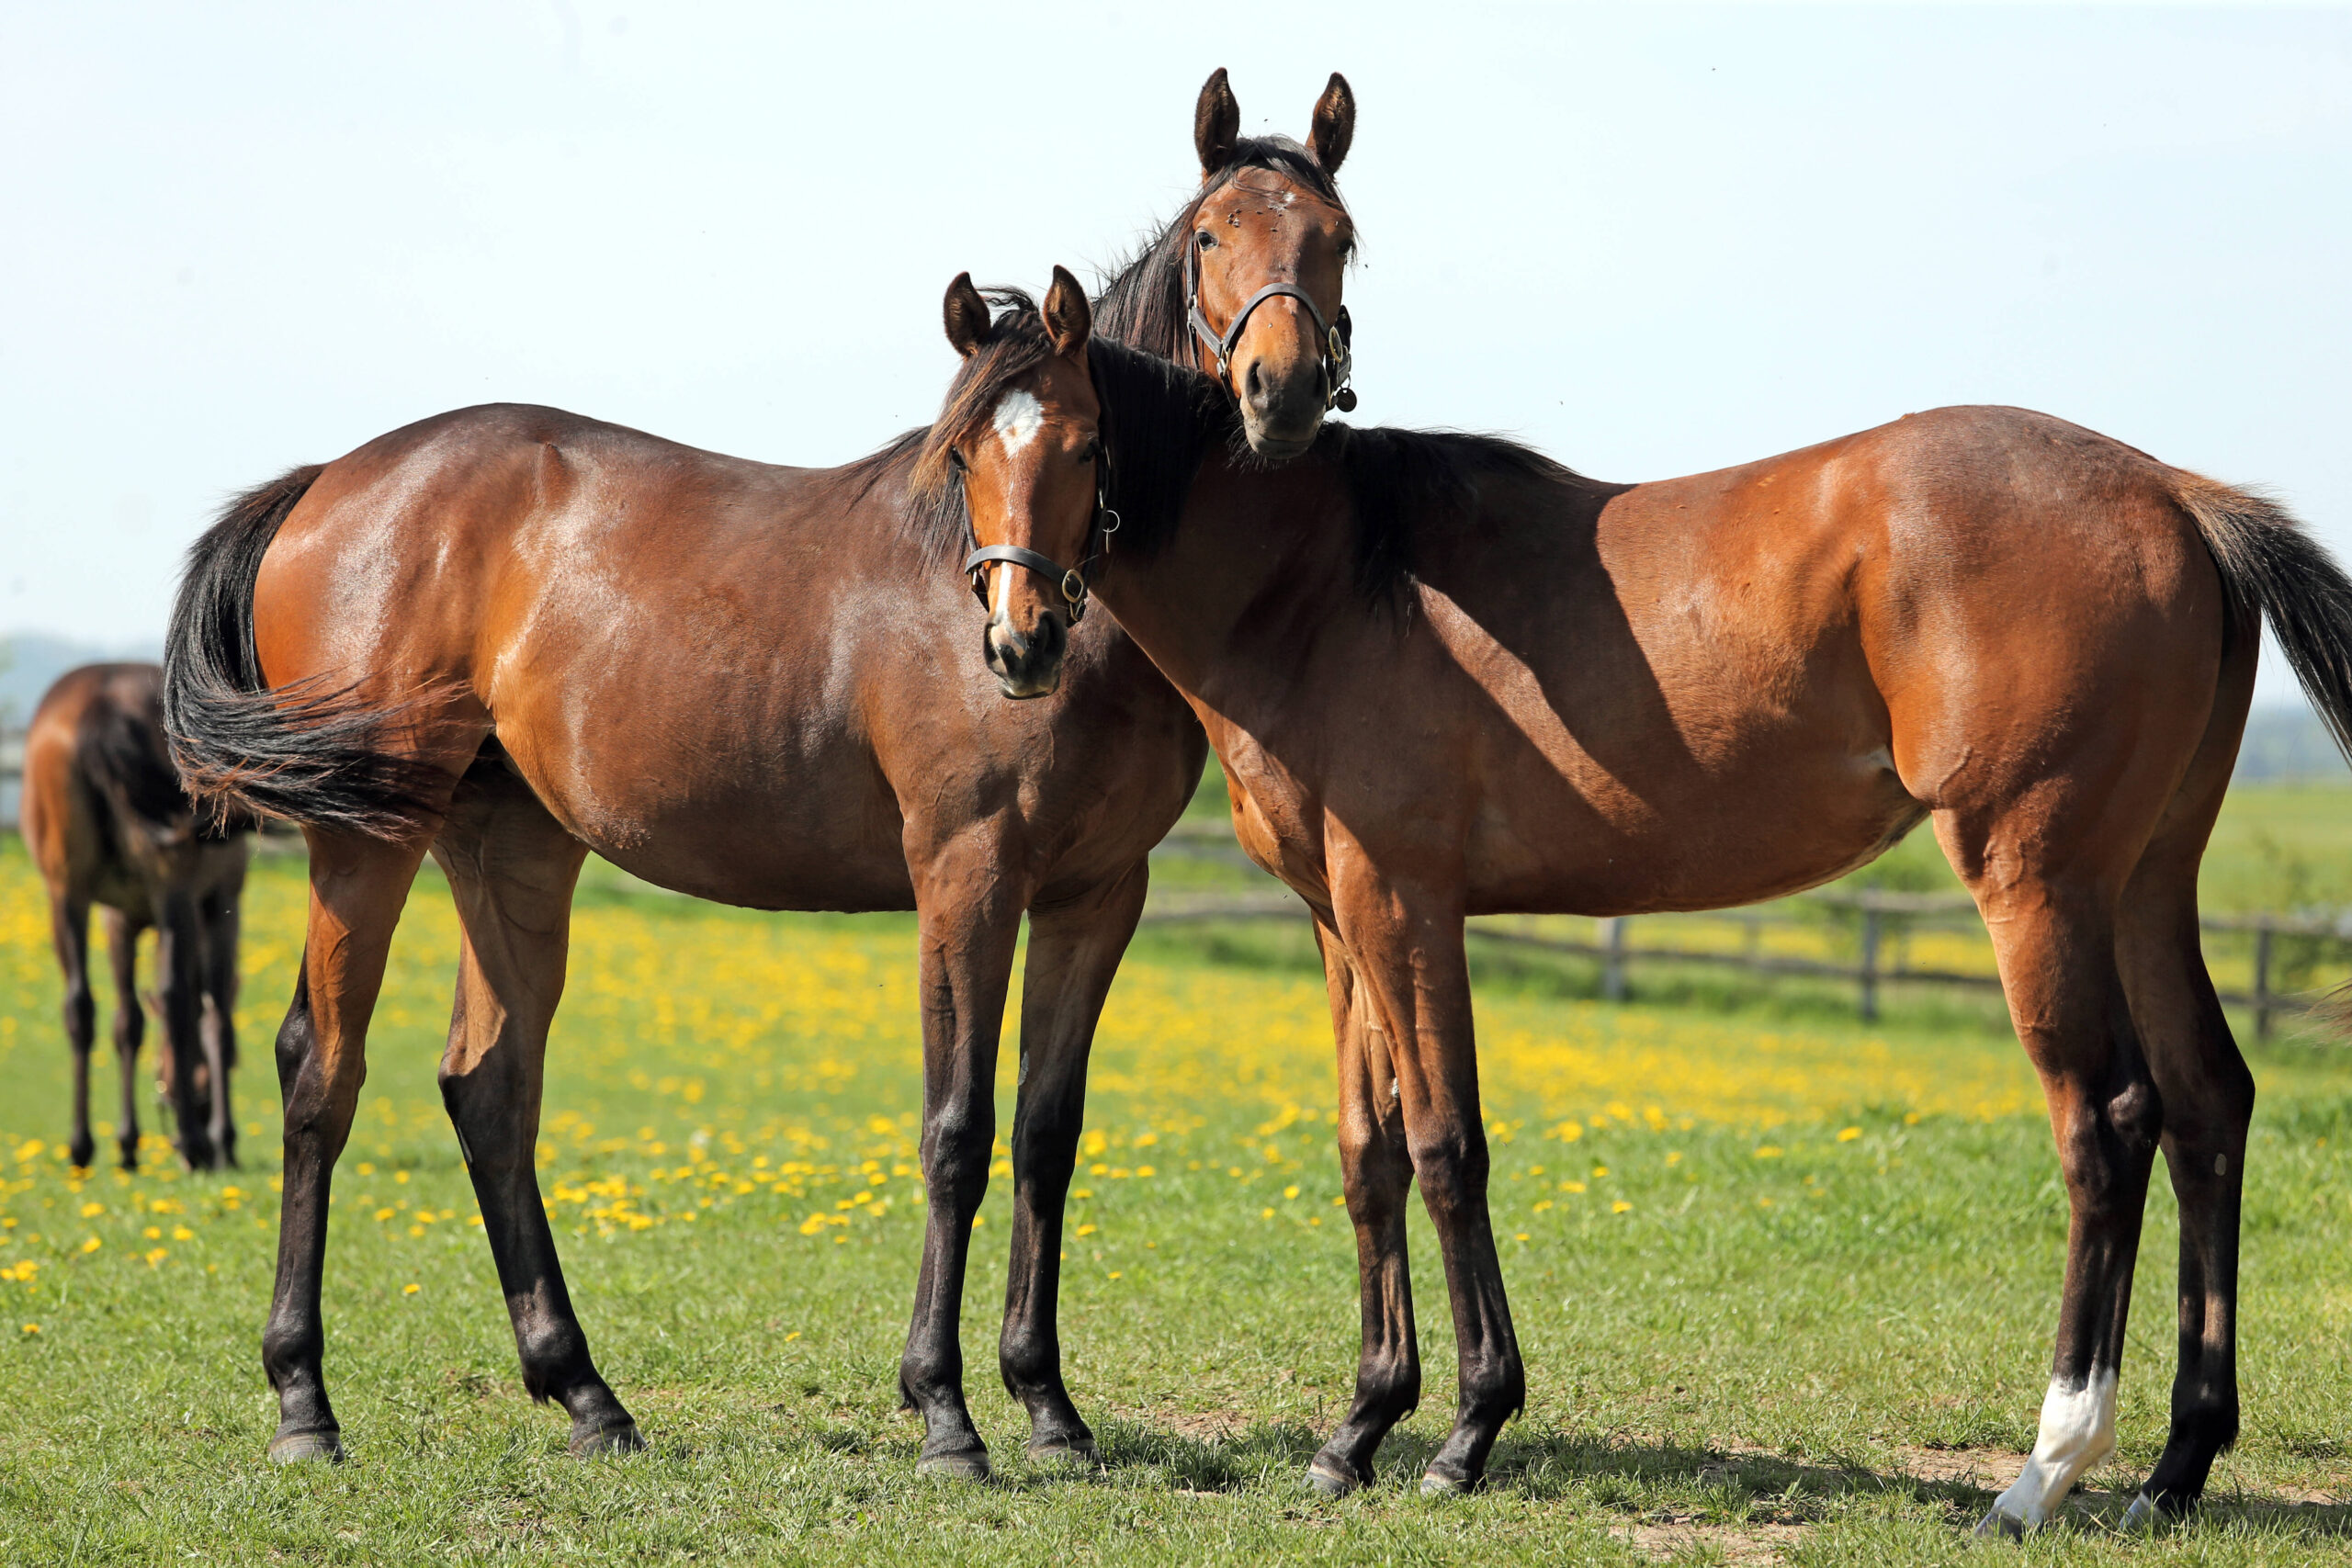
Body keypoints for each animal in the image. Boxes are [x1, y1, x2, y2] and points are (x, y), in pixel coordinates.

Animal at [18, 663, 249, 1171]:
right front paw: (222, 1140)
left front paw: (128, 1142)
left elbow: (129, 1023)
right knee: (178, 996)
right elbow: (214, 1019)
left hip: (65, 891)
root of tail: (101, 706)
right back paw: (197, 1143)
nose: (191, 1108)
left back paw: (82, 1145)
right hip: (173, 891)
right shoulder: (219, 903)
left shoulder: (117, 917)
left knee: (79, 1005)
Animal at [160, 69, 1360, 1472]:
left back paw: (585, 1392)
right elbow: (956, 1131)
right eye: (1215, 234)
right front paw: (946, 1411)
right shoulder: (965, 873)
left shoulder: (1096, 894)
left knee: (489, 1085)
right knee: (319, 1071)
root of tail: (326, 483)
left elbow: (1045, 1134)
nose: (1282, 391)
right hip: (368, 839)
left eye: (1334, 237)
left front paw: (1049, 1405)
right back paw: (305, 1399)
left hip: (510, 843)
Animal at [919, 277, 2352, 1531]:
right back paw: (2174, 1466)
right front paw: (1358, 1427)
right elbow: (1367, 1153)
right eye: (959, 454)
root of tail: (2173, 492)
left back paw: (2043, 1472)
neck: (1326, 583)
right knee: (2209, 1106)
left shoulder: (1403, 903)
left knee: (2108, 1125)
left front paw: (1464, 1431)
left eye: (1084, 441)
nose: (1019, 641)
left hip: (2037, 883)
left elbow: (1446, 1146)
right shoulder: (1339, 919)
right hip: (2145, 884)